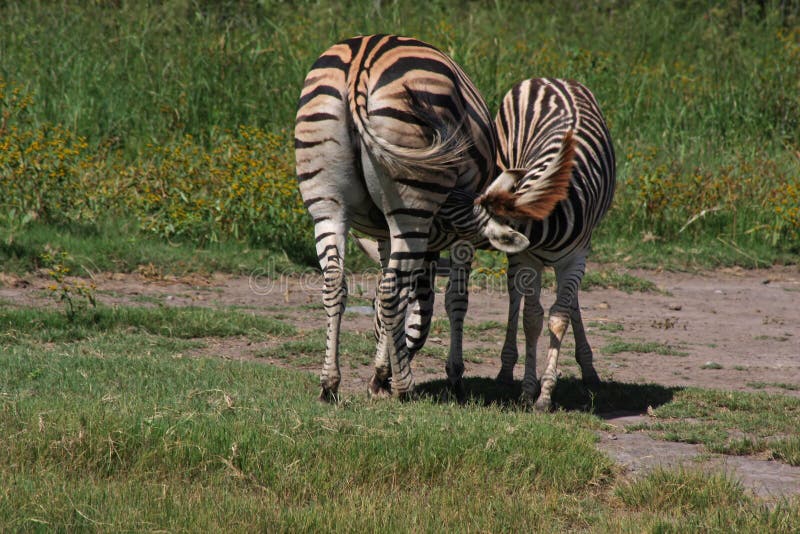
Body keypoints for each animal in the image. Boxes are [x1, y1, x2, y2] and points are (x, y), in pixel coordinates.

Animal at [295, 35, 570, 401]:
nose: (380, 383)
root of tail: (364, 56)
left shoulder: (384, 232)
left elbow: (391, 294)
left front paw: (380, 371)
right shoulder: (461, 234)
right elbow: (454, 299)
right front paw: (451, 375)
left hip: (326, 200)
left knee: (335, 282)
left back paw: (330, 383)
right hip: (412, 201)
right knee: (391, 290)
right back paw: (404, 386)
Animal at [478, 78, 617, 411]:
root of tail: (550, 79)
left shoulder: (576, 258)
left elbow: (558, 318)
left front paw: (545, 395)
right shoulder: (526, 259)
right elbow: (531, 319)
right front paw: (528, 391)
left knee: (570, 302)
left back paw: (588, 367)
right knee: (516, 296)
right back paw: (505, 369)